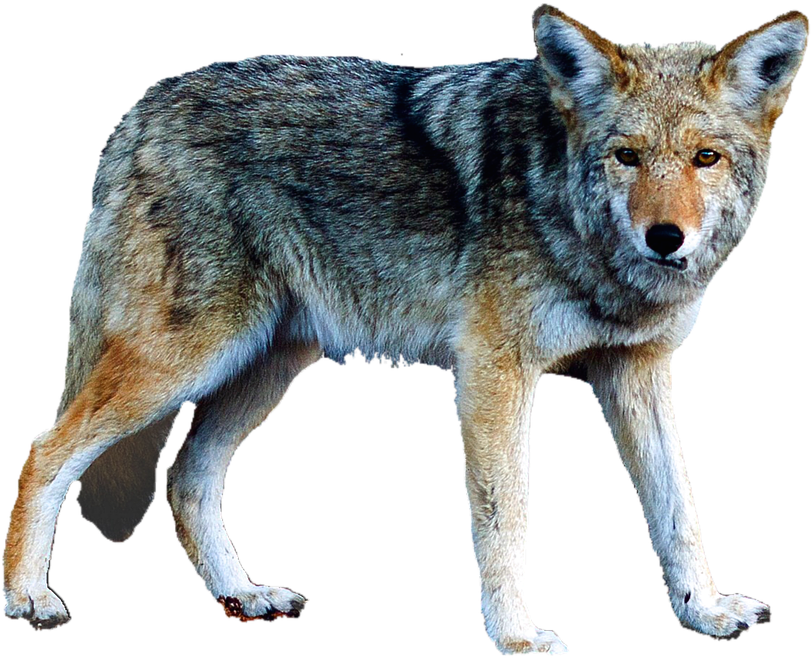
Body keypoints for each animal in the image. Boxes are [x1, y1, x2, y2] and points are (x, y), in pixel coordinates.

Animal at [2, 4, 807, 654]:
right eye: (627, 157)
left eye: (705, 158)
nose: (664, 238)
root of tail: (142, 106)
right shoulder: (494, 374)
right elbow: (506, 517)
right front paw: (516, 636)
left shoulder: (636, 373)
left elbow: (677, 510)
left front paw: (704, 612)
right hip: (185, 361)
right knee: (46, 450)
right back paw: (29, 599)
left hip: (263, 368)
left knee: (186, 476)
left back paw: (243, 596)